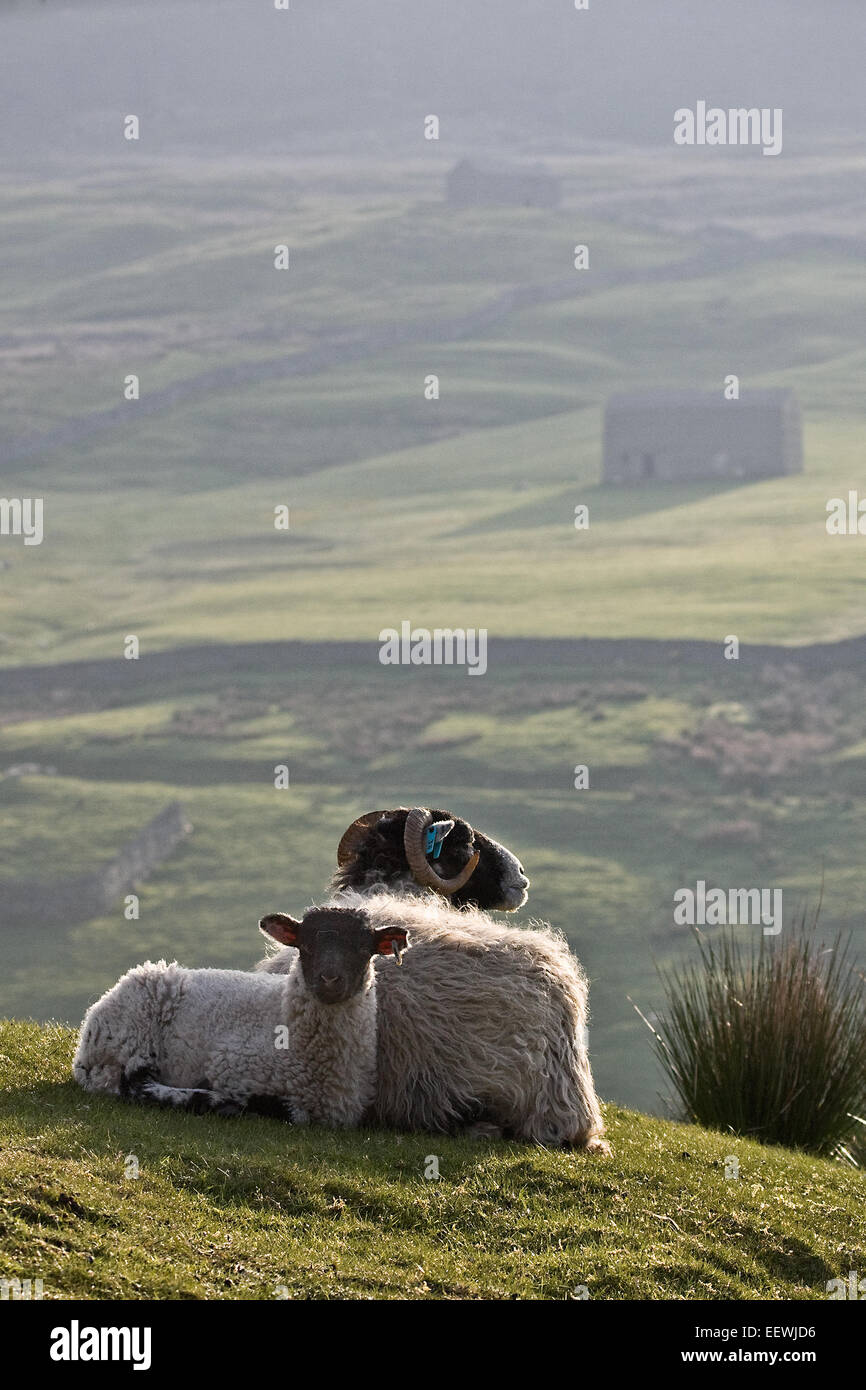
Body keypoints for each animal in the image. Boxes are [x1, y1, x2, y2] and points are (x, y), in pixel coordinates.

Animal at [73, 906, 408, 1129]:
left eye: (363, 949)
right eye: (304, 946)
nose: (329, 979)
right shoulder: (231, 1063)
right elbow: (289, 1111)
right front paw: (236, 1102)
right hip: (133, 1036)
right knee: (134, 1083)